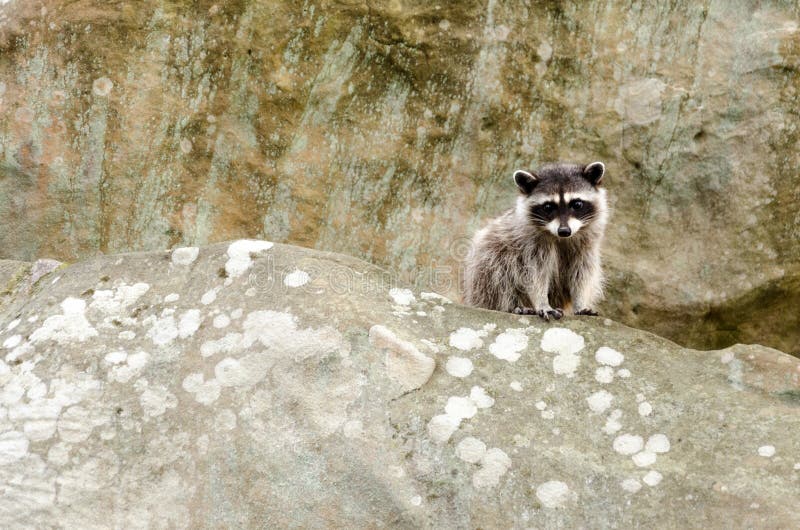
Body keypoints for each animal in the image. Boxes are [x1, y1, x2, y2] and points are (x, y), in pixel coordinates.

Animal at [463, 162, 608, 320]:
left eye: (577, 204)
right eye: (548, 207)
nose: (564, 231)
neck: (560, 238)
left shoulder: (586, 245)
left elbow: (582, 274)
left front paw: (580, 302)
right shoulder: (530, 244)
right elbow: (534, 275)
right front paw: (542, 302)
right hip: (485, 261)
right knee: (498, 276)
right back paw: (512, 306)